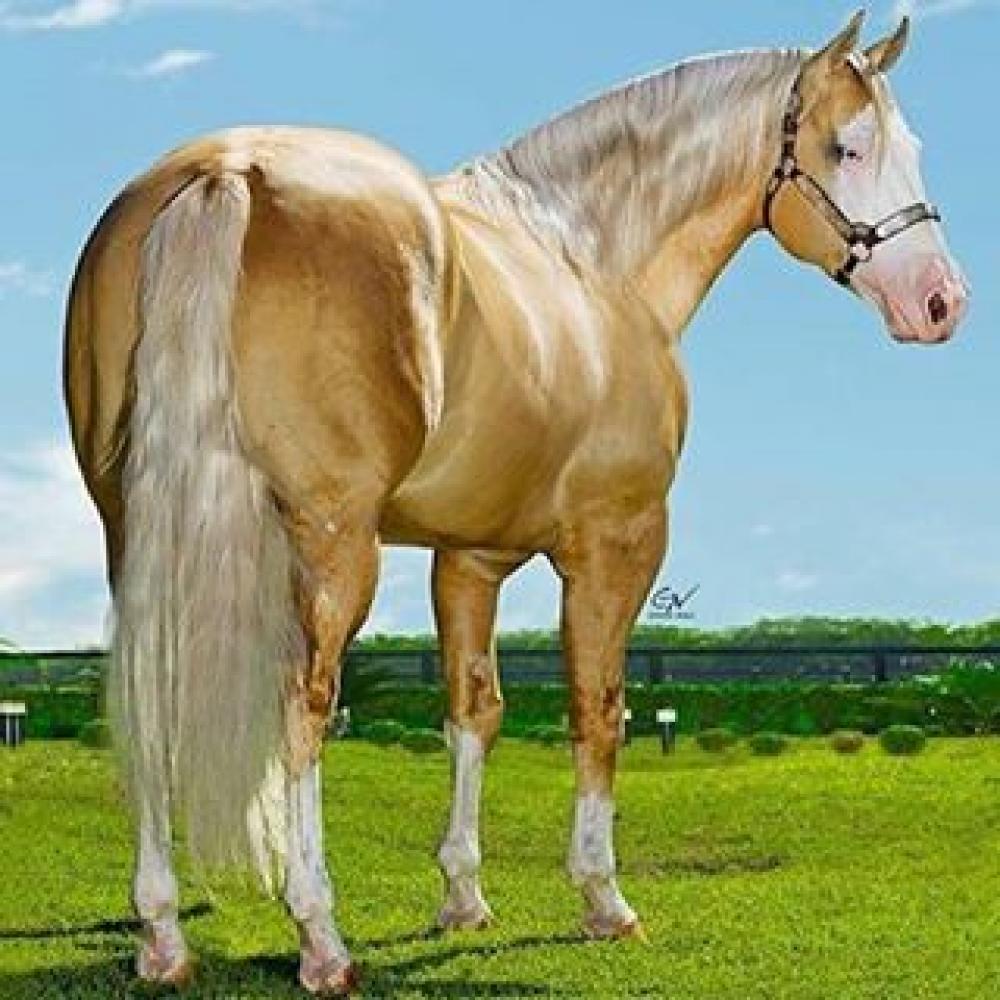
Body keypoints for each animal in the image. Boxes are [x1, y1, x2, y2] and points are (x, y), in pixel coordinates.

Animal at [63, 11, 968, 994]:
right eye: (847, 148)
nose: (941, 301)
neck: (592, 261)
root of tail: (225, 174)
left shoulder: (471, 557)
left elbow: (473, 709)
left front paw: (462, 896)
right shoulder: (617, 544)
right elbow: (597, 707)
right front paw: (604, 899)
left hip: (138, 532)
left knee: (151, 694)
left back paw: (162, 935)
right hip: (333, 543)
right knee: (303, 705)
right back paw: (321, 938)